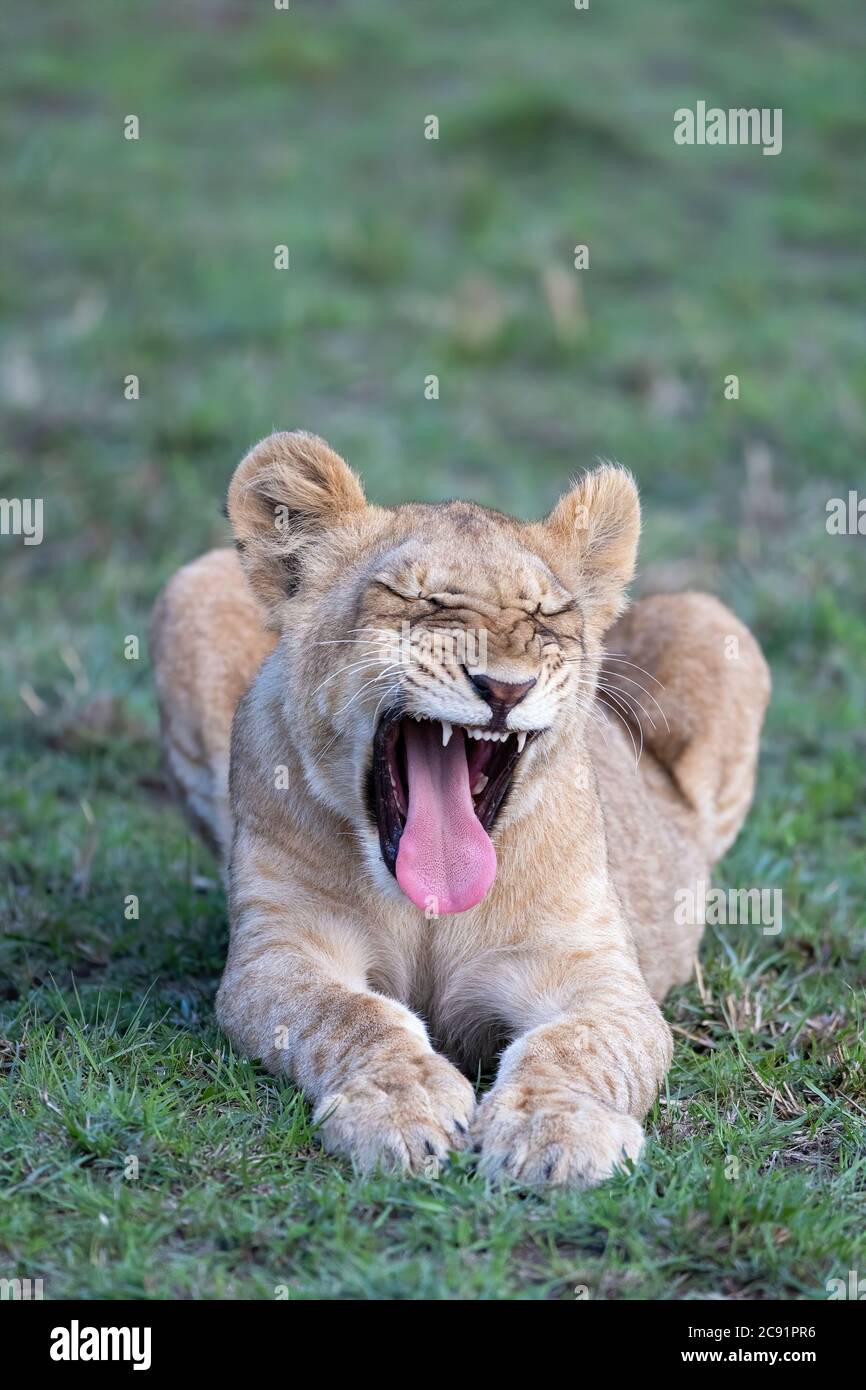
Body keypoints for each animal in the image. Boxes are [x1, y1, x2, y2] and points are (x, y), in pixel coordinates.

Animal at [150, 431, 770, 1185]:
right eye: (412, 598)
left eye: (546, 617)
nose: (505, 689)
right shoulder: (279, 953)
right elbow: (349, 1016)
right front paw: (402, 1109)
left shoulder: (598, 976)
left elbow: (580, 1045)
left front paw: (553, 1134)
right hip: (195, 586)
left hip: (712, 624)